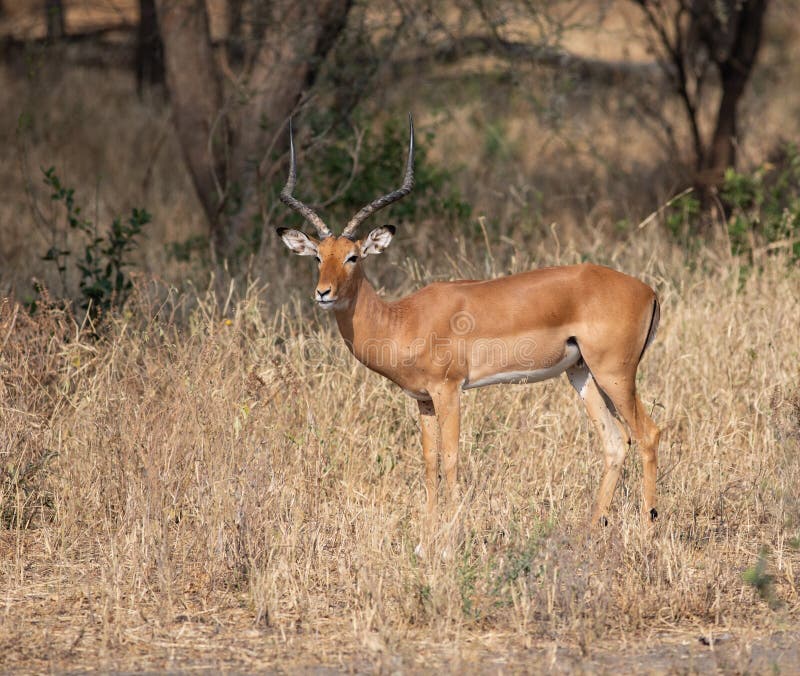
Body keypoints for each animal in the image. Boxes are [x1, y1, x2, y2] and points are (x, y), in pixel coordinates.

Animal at [277, 115, 661, 530]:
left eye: (353, 256)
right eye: (318, 256)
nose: (323, 293)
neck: (402, 320)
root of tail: (648, 291)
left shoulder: (449, 391)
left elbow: (451, 458)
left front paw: (452, 531)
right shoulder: (423, 400)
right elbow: (429, 463)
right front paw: (428, 531)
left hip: (615, 374)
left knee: (648, 434)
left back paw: (648, 527)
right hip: (581, 373)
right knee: (615, 442)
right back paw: (591, 527)